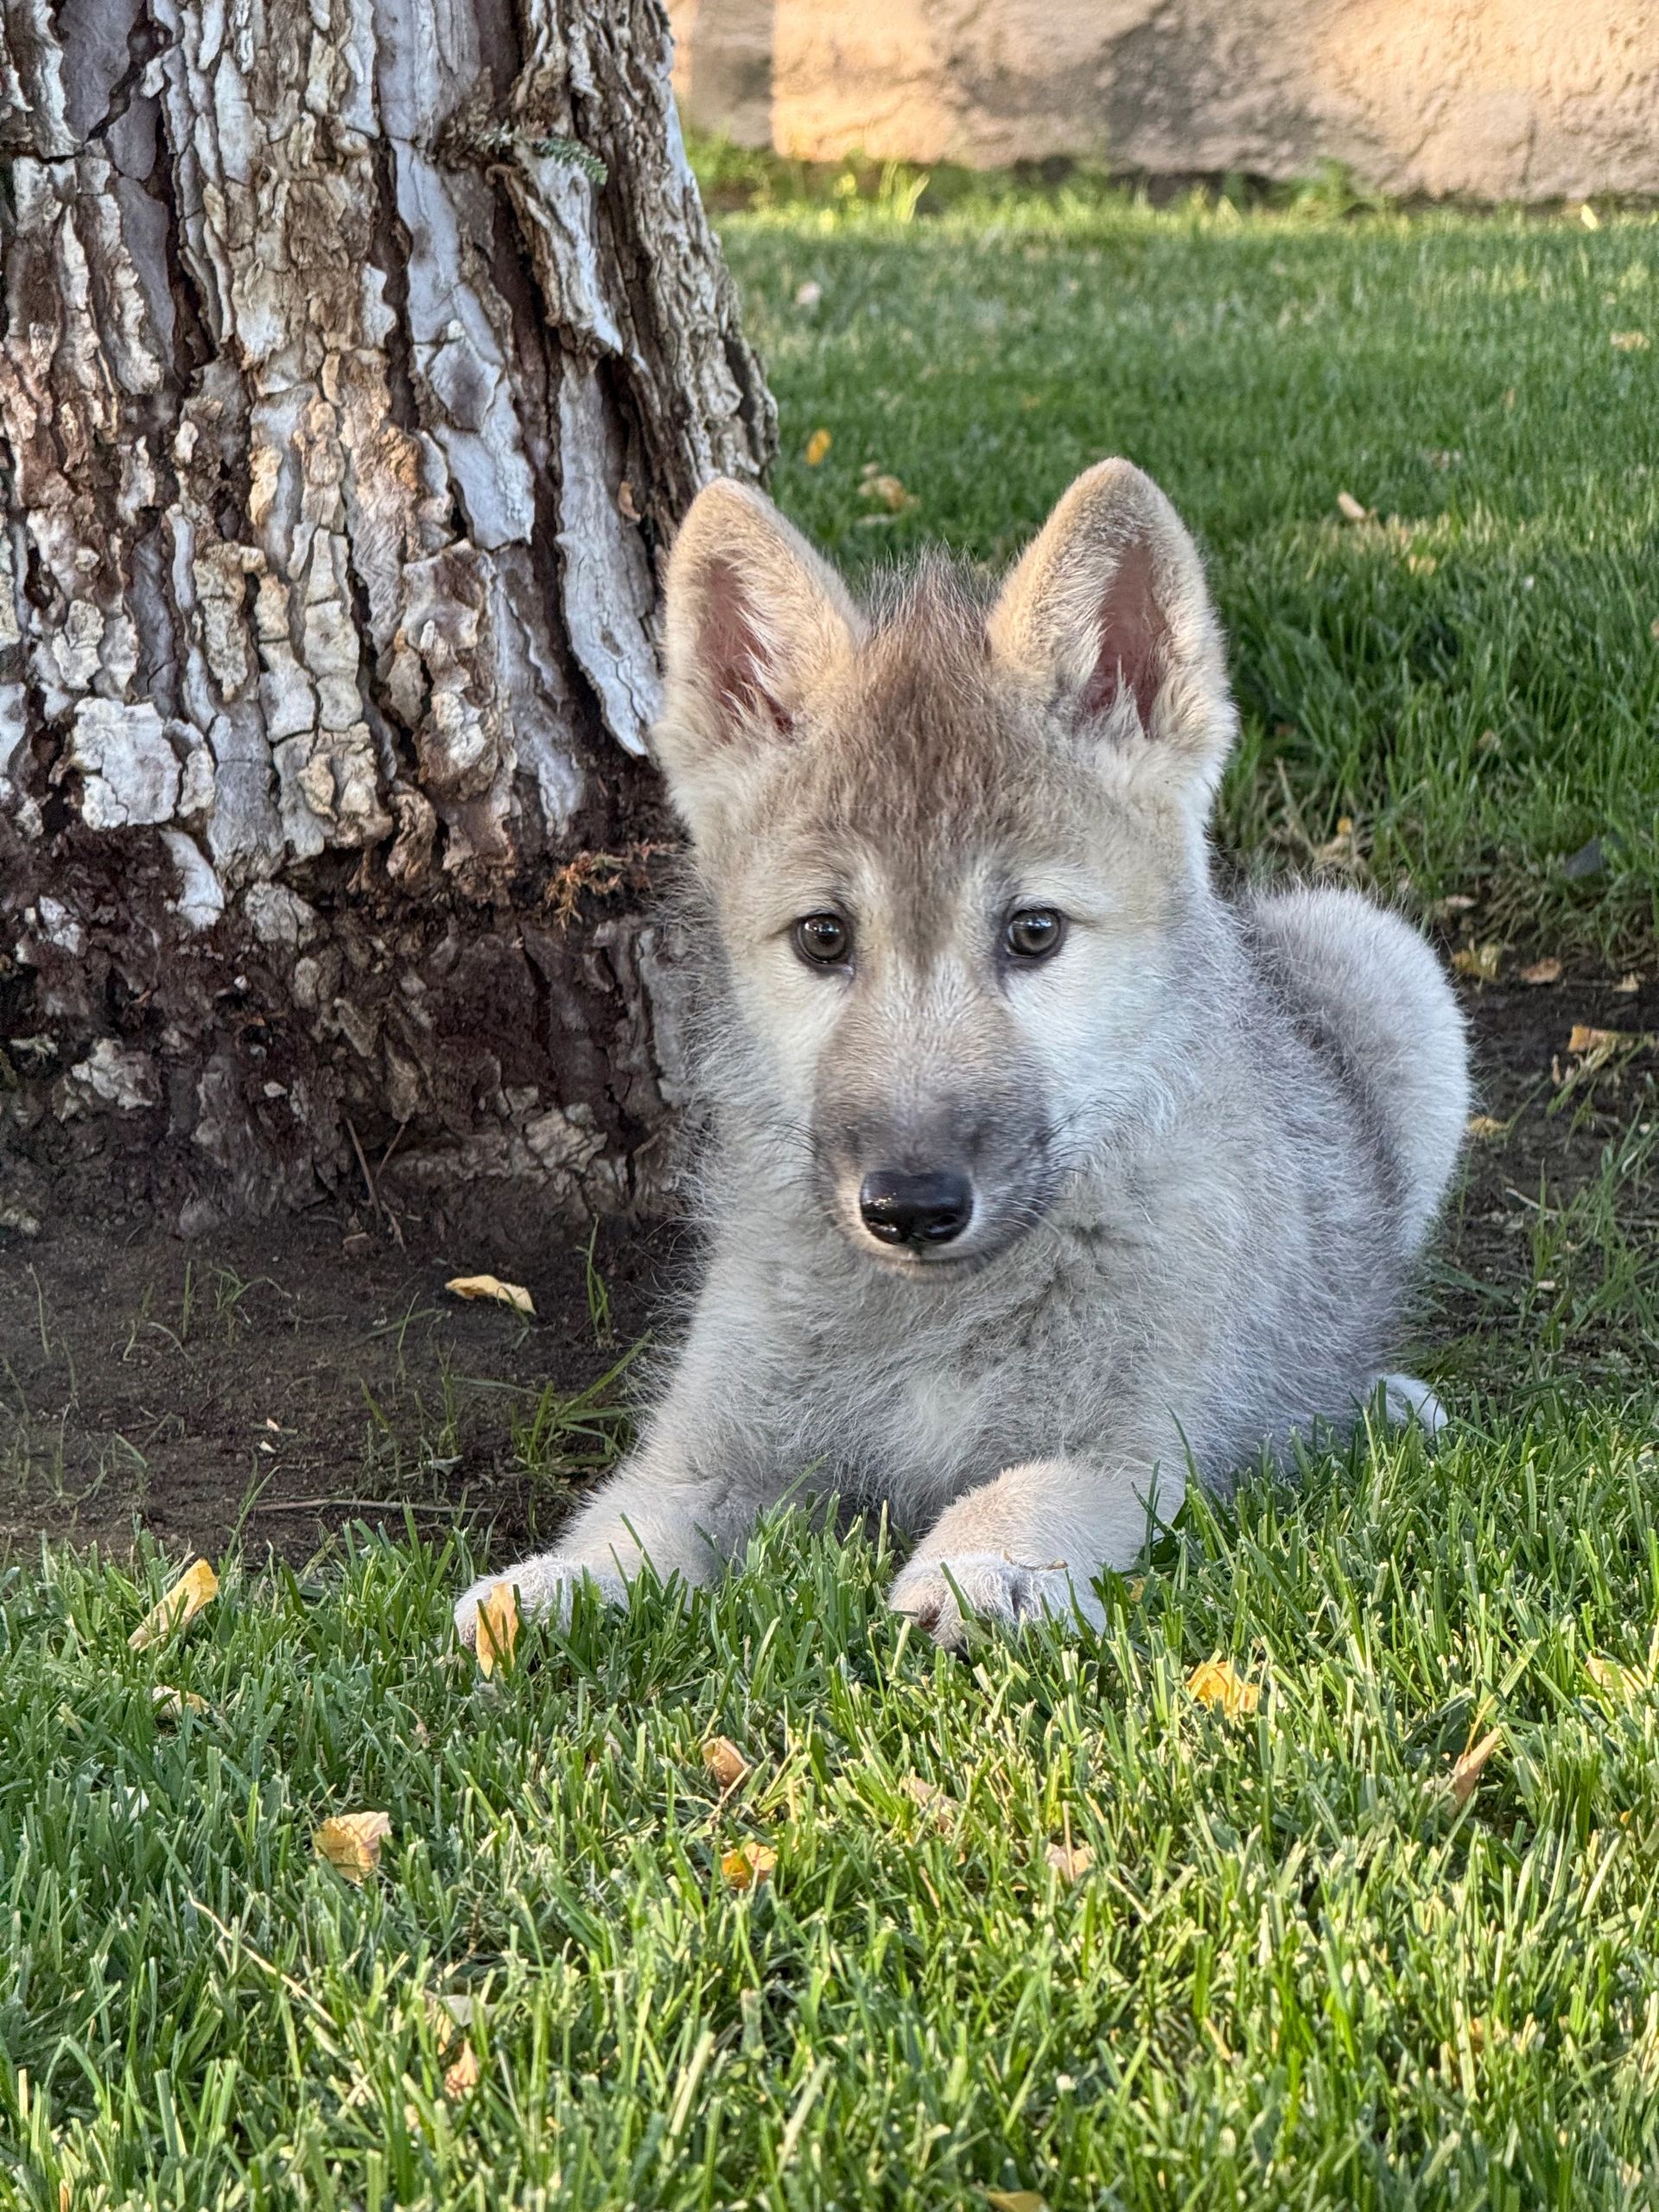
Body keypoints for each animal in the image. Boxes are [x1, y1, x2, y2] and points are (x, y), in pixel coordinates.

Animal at [454, 458, 1469, 1652]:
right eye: (823, 936)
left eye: (1034, 932)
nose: (911, 1206)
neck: (938, 1311)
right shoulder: (713, 1447)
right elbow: (632, 1521)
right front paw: (551, 1587)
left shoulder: (1128, 1441)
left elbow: (1020, 1489)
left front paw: (983, 1568)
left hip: (1395, 966)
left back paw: (1375, 1403)